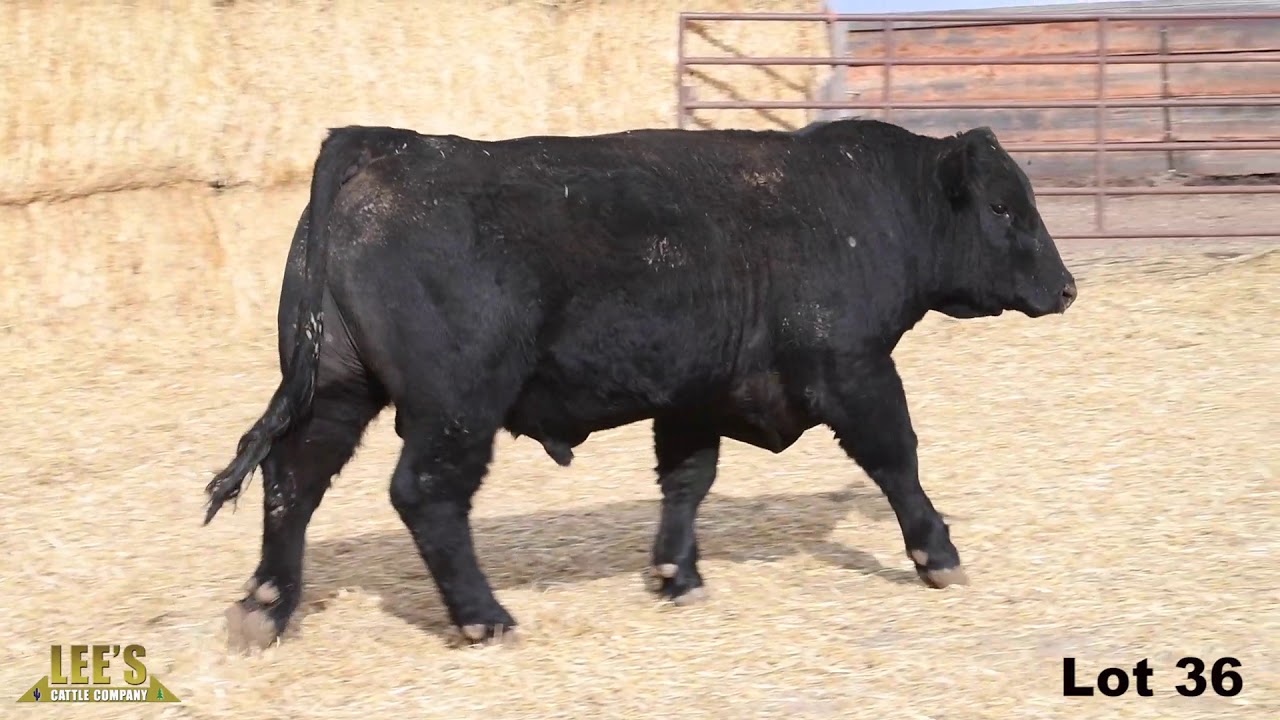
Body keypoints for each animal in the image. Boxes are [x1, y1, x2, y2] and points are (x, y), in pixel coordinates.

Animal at [204, 117, 1077, 651]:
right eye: (1005, 208)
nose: (1067, 287)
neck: (869, 208)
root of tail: (393, 146)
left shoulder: (695, 396)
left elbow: (687, 480)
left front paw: (675, 575)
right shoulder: (854, 370)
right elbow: (898, 460)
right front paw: (938, 553)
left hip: (337, 391)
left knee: (291, 481)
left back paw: (264, 609)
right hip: (456, 408)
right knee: (425, 496)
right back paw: (486, 618)